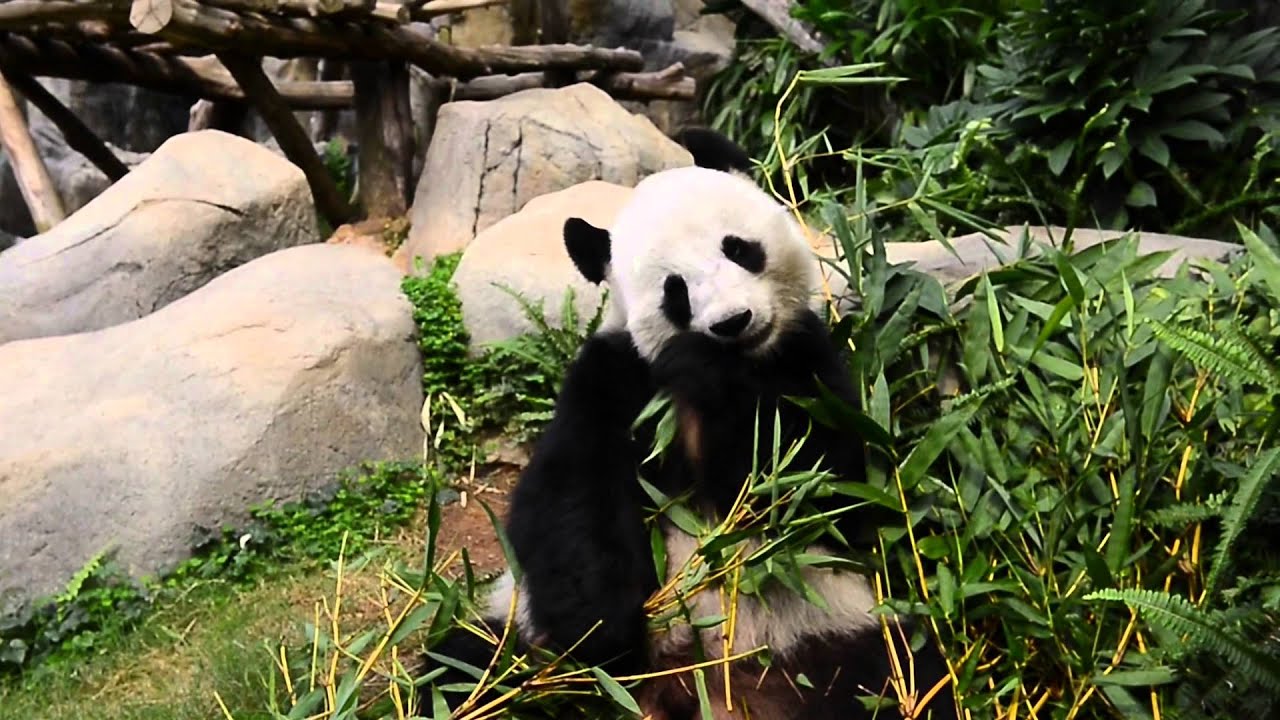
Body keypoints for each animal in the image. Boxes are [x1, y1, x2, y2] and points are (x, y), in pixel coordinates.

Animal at [420, 129, 956, 720]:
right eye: (674, 289)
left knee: (902, 675)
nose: (732, 322)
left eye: (738, 248)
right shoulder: (614, 378)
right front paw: (601, 634)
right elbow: (568, 498)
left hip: (838, 632)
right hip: (518, 639)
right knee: (462, 667)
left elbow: (827, 486)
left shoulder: (805, 361)